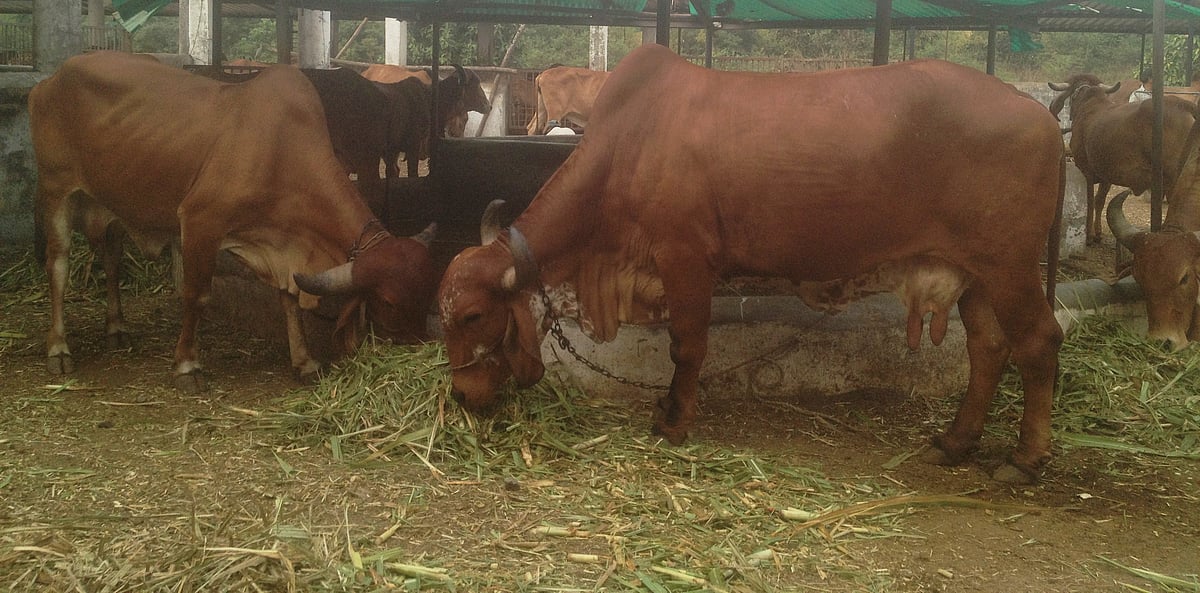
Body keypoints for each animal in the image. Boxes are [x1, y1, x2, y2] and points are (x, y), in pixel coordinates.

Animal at [30, 51, 438, 391]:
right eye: (388, 302)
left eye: (426, 291)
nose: (418, 344)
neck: (280, 151)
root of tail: (50, 79)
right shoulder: (199, 222)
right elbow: (196, 296)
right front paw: (187, 366)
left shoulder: (282, 247)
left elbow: (289, 297)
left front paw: (304, 362)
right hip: (55, 190)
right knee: (58, 266)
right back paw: (59, 348)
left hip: (111, 200)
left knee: (111, 259)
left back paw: (116, 328)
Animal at [437, 44, 1066, 484]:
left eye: (471, 316)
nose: (461, 394)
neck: (625, 149)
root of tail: (1036, 111)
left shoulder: (686, 259)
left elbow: (688, 346)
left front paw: (674, 421)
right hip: (975, 274)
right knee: (988, 347)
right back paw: (956, 441)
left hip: (1010, 265)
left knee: (1039, 342)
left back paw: (1026, 458)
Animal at [1048, 74, 1196, 245]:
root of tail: (1181, 104)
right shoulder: (1106, 175)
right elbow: (1099, 201)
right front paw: (1098, 233)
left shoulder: (1086, 170)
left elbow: (1090, 201)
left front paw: (1089, 235)